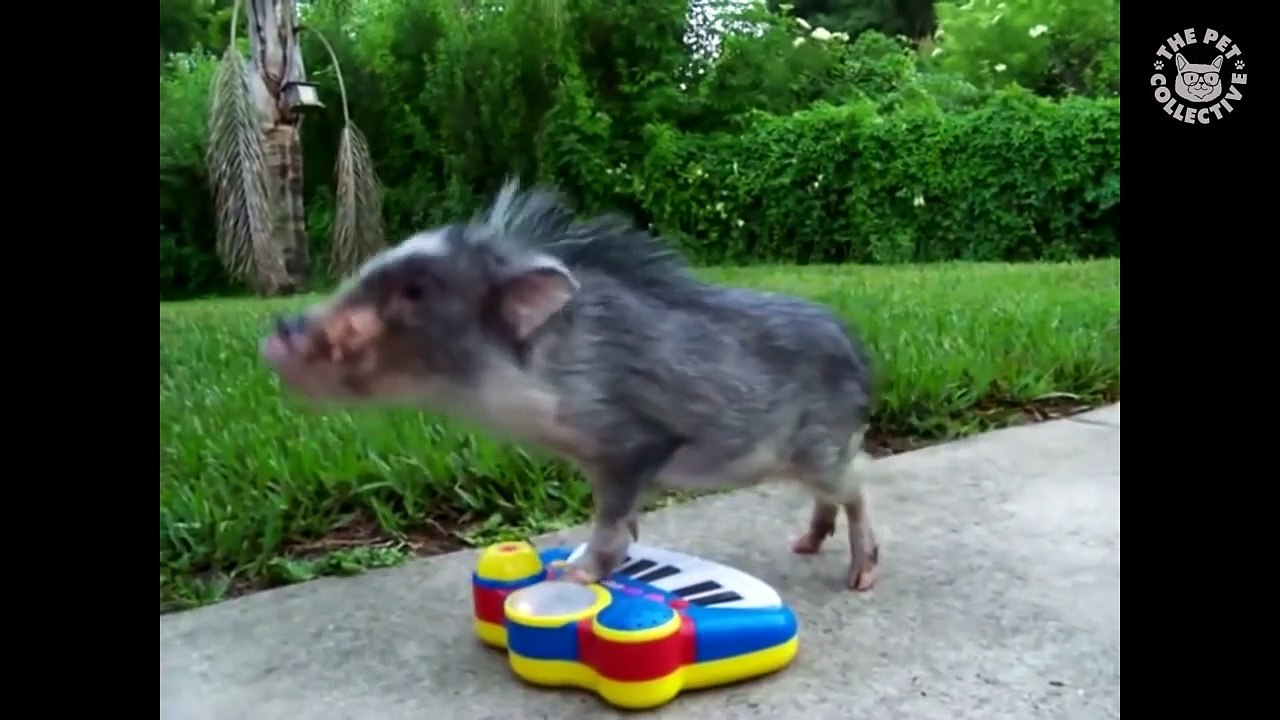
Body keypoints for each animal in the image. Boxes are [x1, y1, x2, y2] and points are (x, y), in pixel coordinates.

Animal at [260, 180, 882, 591]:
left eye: (415, 292)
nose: (278, 333)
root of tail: (861, 355)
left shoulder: (636, 441)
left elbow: (611, 522)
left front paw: (571, 573)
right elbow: (619, 522)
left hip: (820, 445)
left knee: (857, 484)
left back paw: (859, 578)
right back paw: (802, 546)